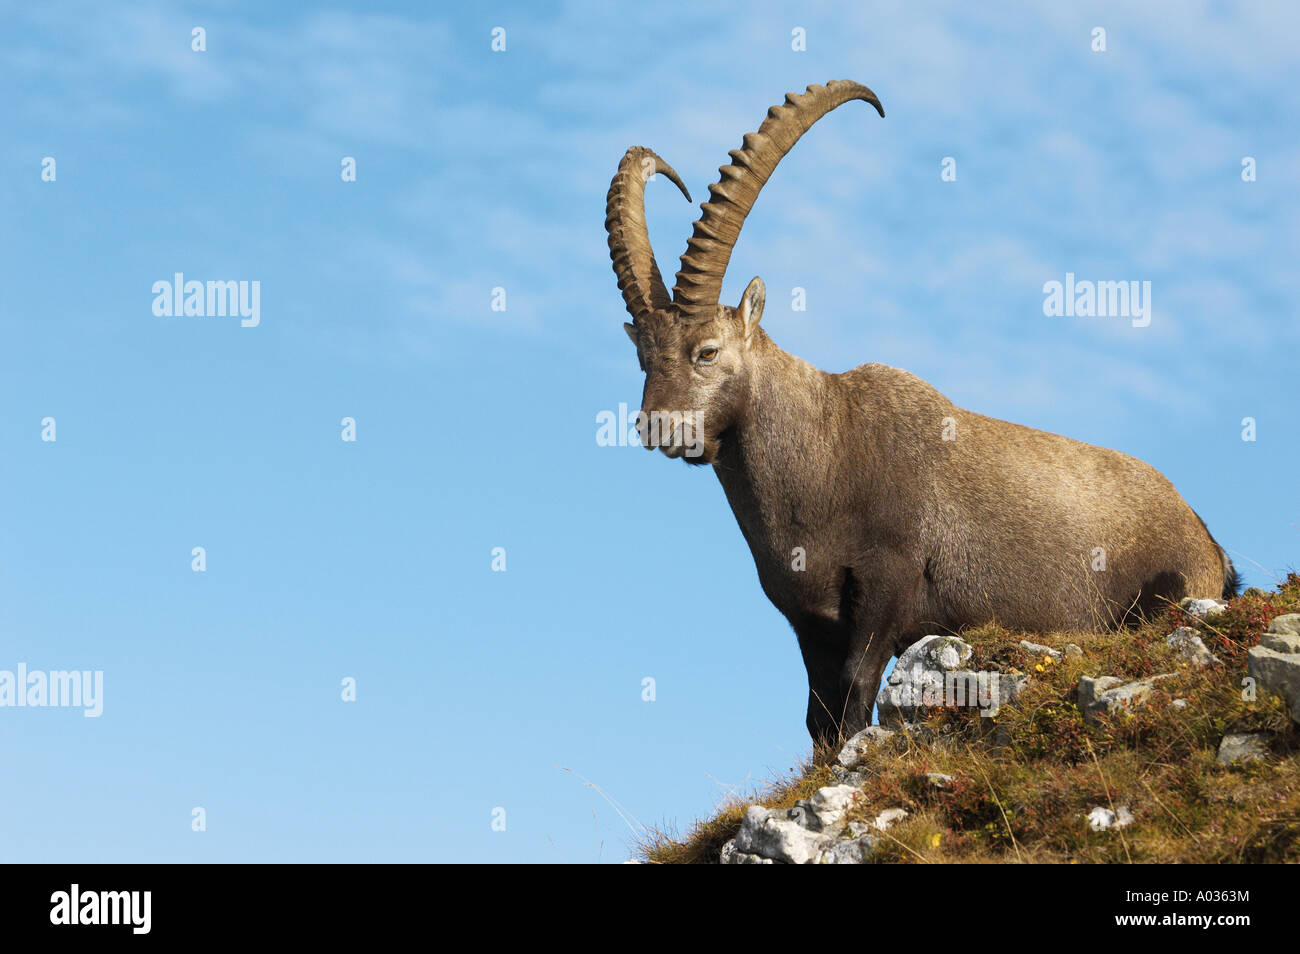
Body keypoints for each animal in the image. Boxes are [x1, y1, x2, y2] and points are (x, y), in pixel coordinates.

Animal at [605, 81, 1237, 746]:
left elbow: (857, 690)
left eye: (707, 351)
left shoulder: (889, 588)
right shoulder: (809, 619)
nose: (657, 425)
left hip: (1168, 597)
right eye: (643, 355)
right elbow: (818, 717)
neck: (826, 455)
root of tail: (1206, 539)